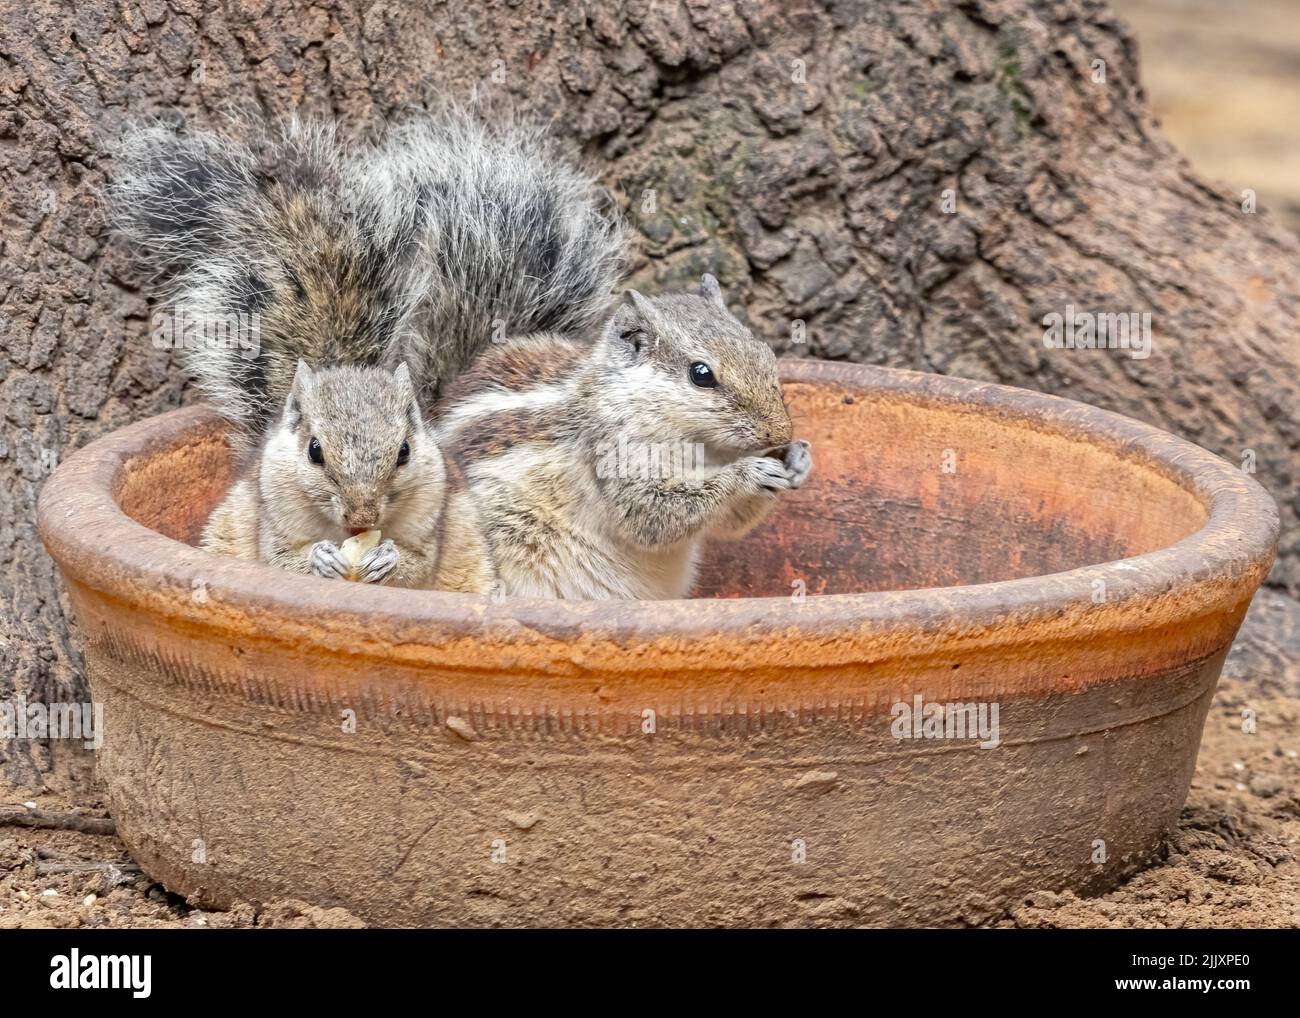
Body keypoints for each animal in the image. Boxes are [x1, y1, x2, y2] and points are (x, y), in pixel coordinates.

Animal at [110, 112, 625, 589]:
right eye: (314, 451)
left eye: (404, 452)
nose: (362, 517)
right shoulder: (269, 512)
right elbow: (280, 558)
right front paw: (319, 558)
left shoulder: (437, 510)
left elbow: (419, 567)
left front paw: (388, 560)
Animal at [435, 274, 813, 600]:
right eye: (701, 374)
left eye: (765, 352)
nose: (780, 432)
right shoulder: (613, 453)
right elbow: (650, 516)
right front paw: (747, 473)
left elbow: (730, 523)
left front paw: (798, 459)